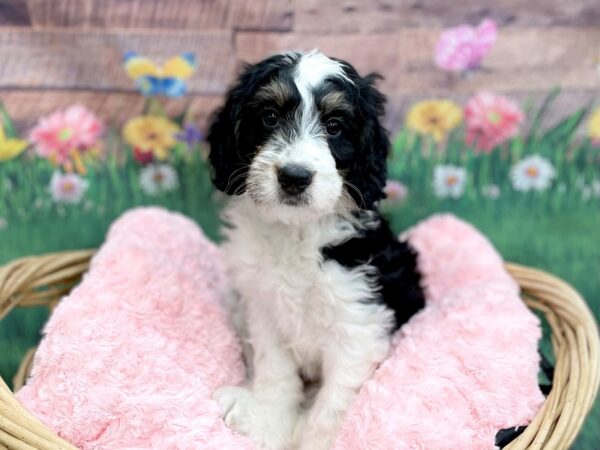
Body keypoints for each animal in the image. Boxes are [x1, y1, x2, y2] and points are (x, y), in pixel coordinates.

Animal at [209, 51, 424, 448]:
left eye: (335, 125)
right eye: (270, 117)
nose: (294, 177)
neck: (297, 230)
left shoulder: (358, 326)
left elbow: (332, 407)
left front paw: (311, 439)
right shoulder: (264, 311)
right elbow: (276, 373)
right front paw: (269, 426)